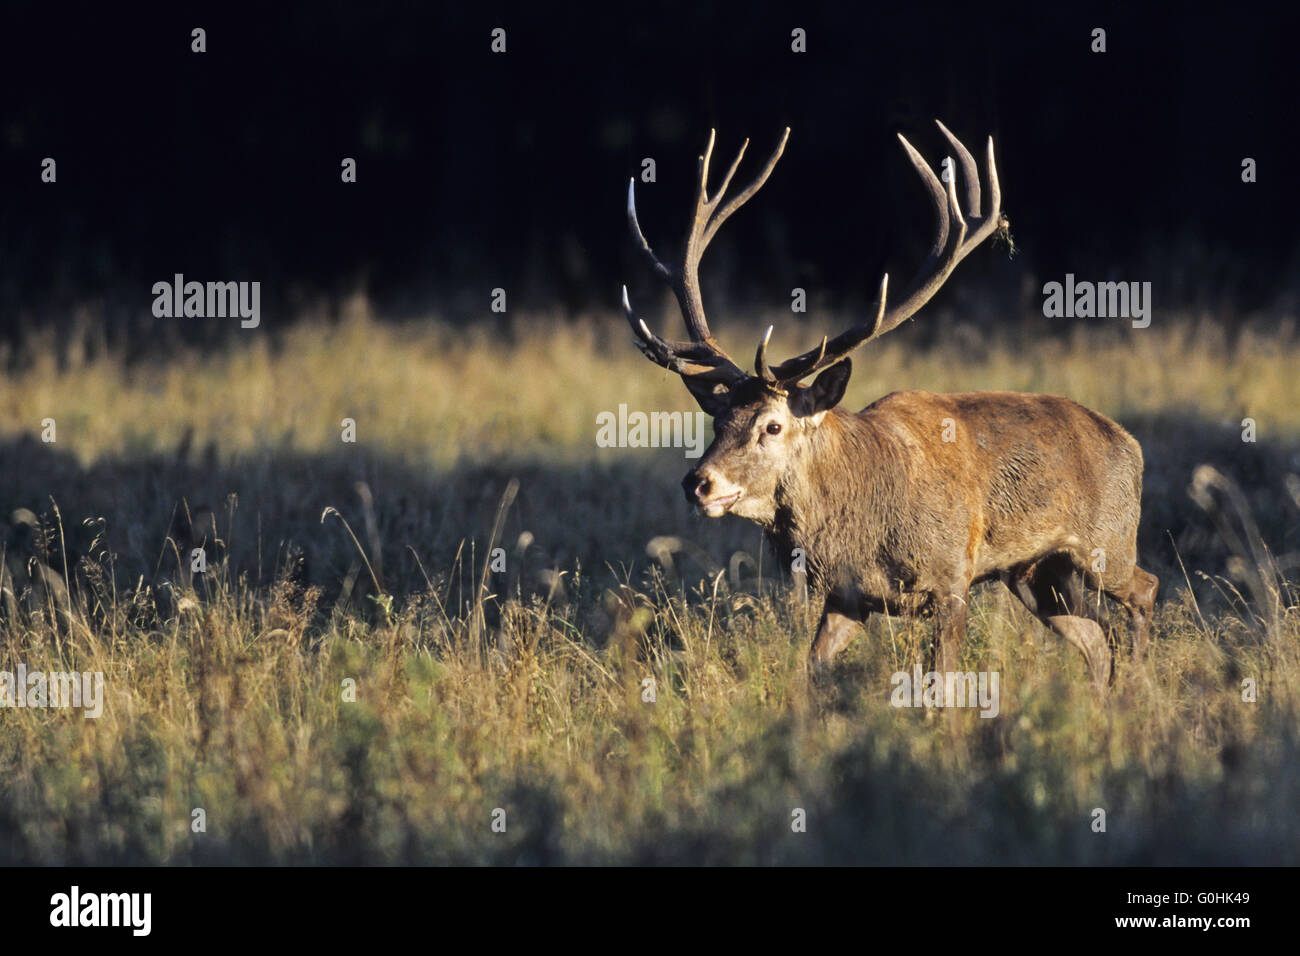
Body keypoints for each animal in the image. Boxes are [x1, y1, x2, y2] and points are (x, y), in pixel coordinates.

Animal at [620, 121, 1158, 691]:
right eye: (718, 419)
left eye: (772, 426)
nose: (698, 482)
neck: (861, 524)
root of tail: (1129, 444)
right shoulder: (845, 598)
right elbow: (811, 671)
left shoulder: (951, 578)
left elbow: (943, 685)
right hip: (1035, 572)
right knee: (1096, 639)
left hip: (1107, 540)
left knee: (1143, 591)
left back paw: (1136, 690)